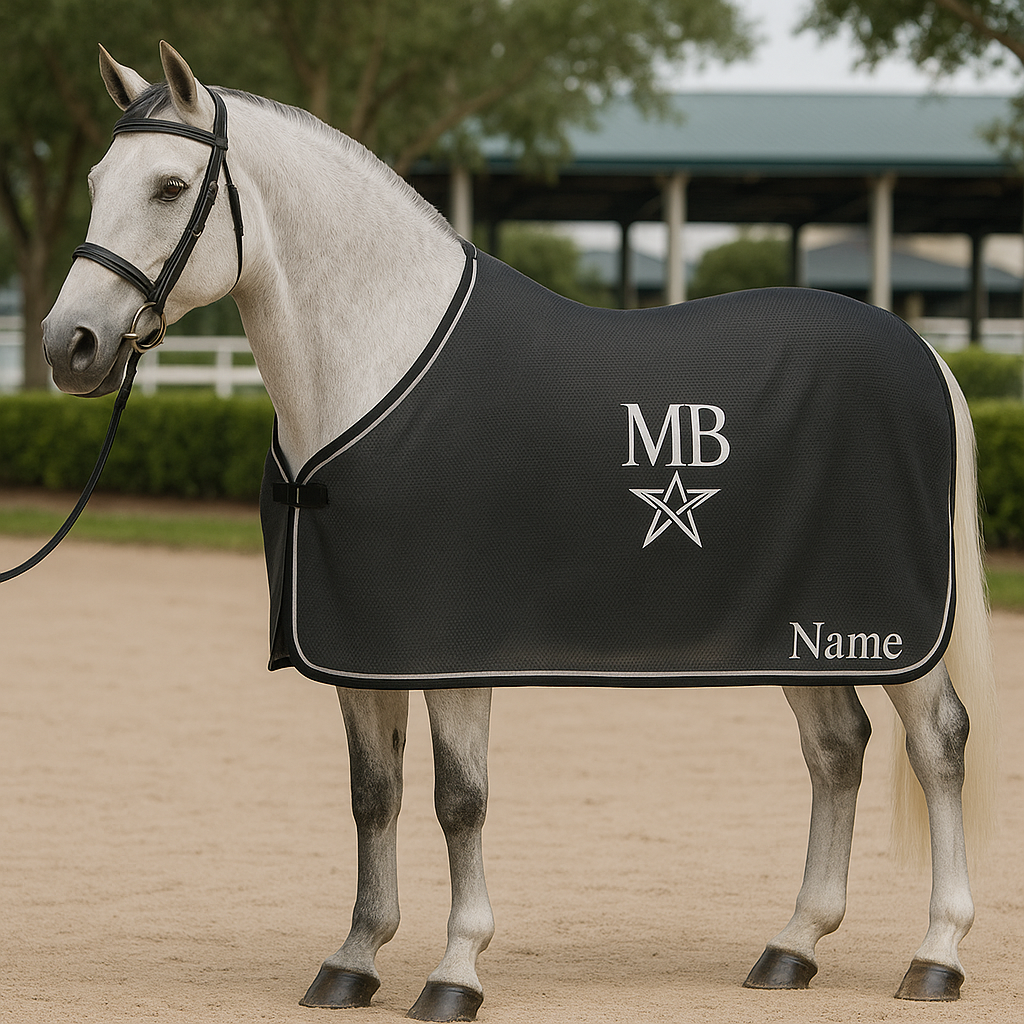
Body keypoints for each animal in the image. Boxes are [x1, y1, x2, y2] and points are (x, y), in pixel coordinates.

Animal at [41, 42, 997, 1022]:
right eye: (96, 181)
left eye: (169, 185)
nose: (68, 345)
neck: (380, 366)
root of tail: (925, 356)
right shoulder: (360, 648)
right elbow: (373, 795)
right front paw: (354, 959)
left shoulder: (452, 654)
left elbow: (459, 799)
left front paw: (455, 970)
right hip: (800, 633)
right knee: (836, 748)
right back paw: (793, 945)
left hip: (896, 638)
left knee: (937, 745)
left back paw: (936, 955)